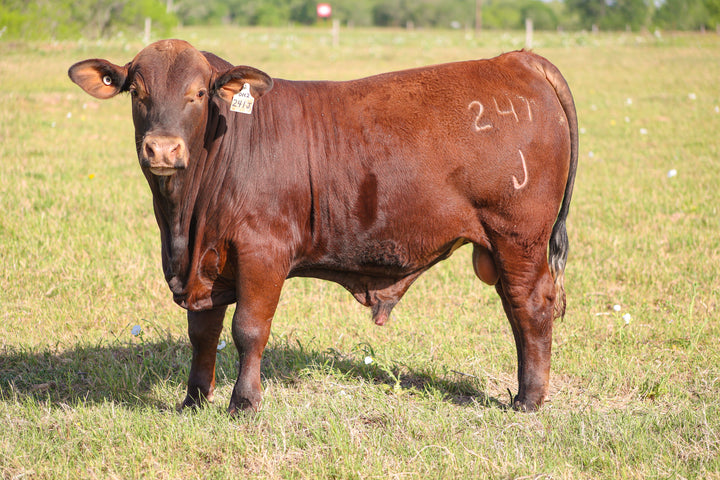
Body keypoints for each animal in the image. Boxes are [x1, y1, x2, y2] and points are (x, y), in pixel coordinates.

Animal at [68, 39, 578, 413]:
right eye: (138, 92)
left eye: (197, 94)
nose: (163, 149)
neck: (184, 221)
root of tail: (515, 59)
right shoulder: (204, 265)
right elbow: (203, 332)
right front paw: (194, 400)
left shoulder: (263, 252)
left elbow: (248, 328)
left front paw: (243, 403)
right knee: (516, 308)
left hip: (518, 235)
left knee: (530, 305)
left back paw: (529, 400)